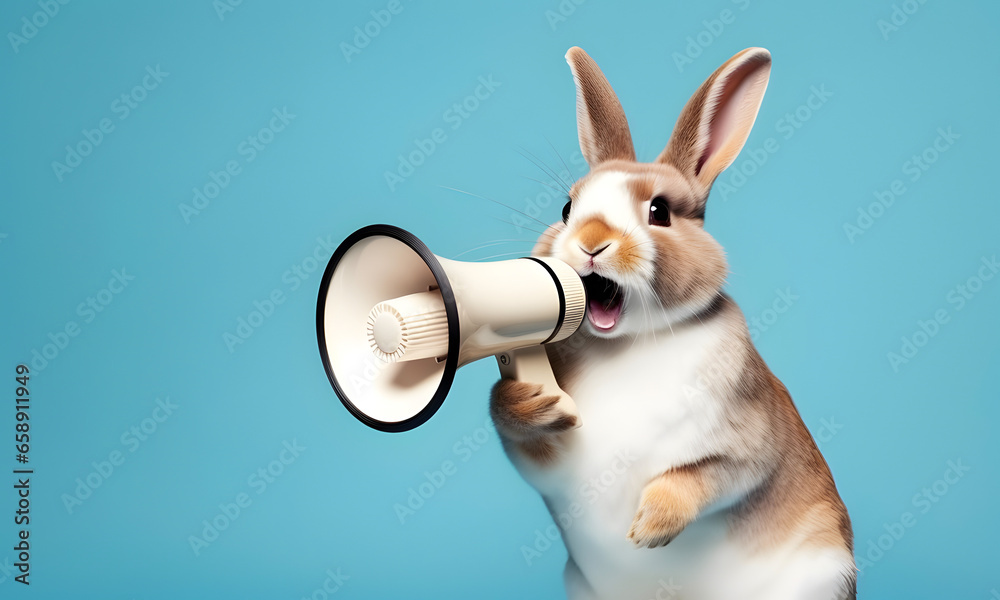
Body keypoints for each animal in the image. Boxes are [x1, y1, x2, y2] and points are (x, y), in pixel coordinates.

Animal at [490, 47, 856, 600]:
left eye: (660, 211)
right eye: (567, 207)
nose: (591, 241)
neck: (630, 343)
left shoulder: (749, 445)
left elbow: (707, 475)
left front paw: (648, 529)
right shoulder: (551, 460)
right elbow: (516, 428)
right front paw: (530, 402)